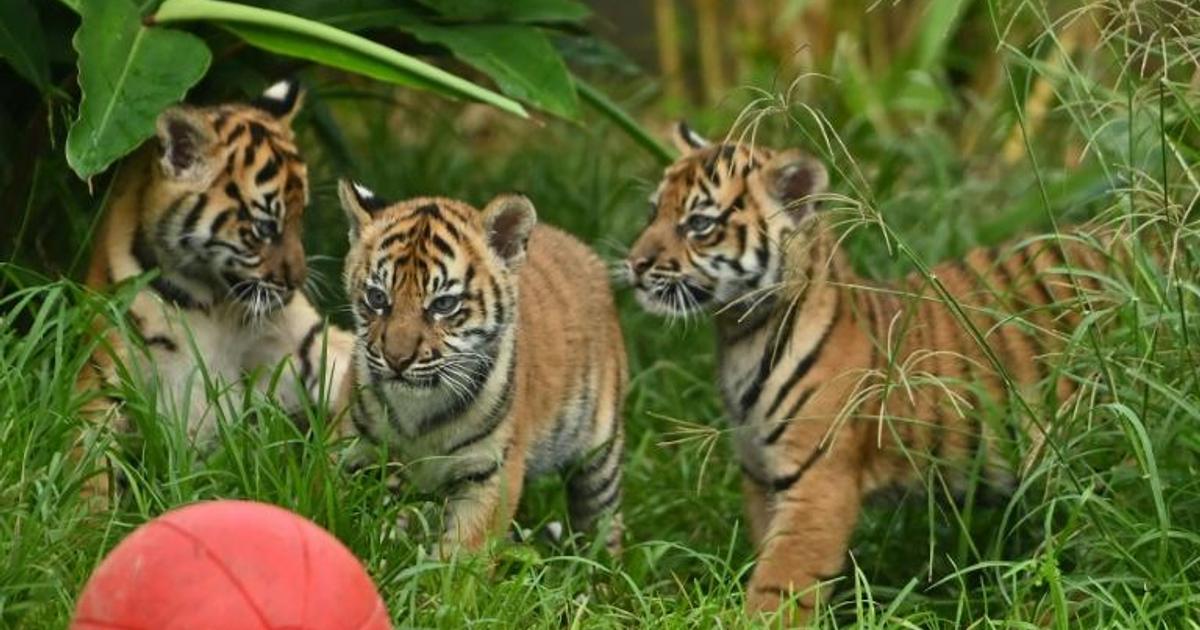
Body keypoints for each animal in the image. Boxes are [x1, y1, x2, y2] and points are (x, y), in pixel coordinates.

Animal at [76, 80, 355, 505]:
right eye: (264, 228)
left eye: (300, 216)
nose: (297, 281)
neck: (211, 300)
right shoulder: (108, 367)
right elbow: (88, 455)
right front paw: (87, 513)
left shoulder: (306, 343)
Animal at [336, 180, 628, 553]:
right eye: (377, 298)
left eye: (444, 304)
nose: (397, 359)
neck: (420, 407)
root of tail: (577, 244)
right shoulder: (352, 448)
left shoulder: (490, 472)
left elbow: (464, 552)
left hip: (600, 455)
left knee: (604, 524)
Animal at [625, 122, 1112, 621]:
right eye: (653, 212)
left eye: (699, 224)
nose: (635, 264)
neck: (741, 334)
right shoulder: (761, 479)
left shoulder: (818, 484)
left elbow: (779, 588)